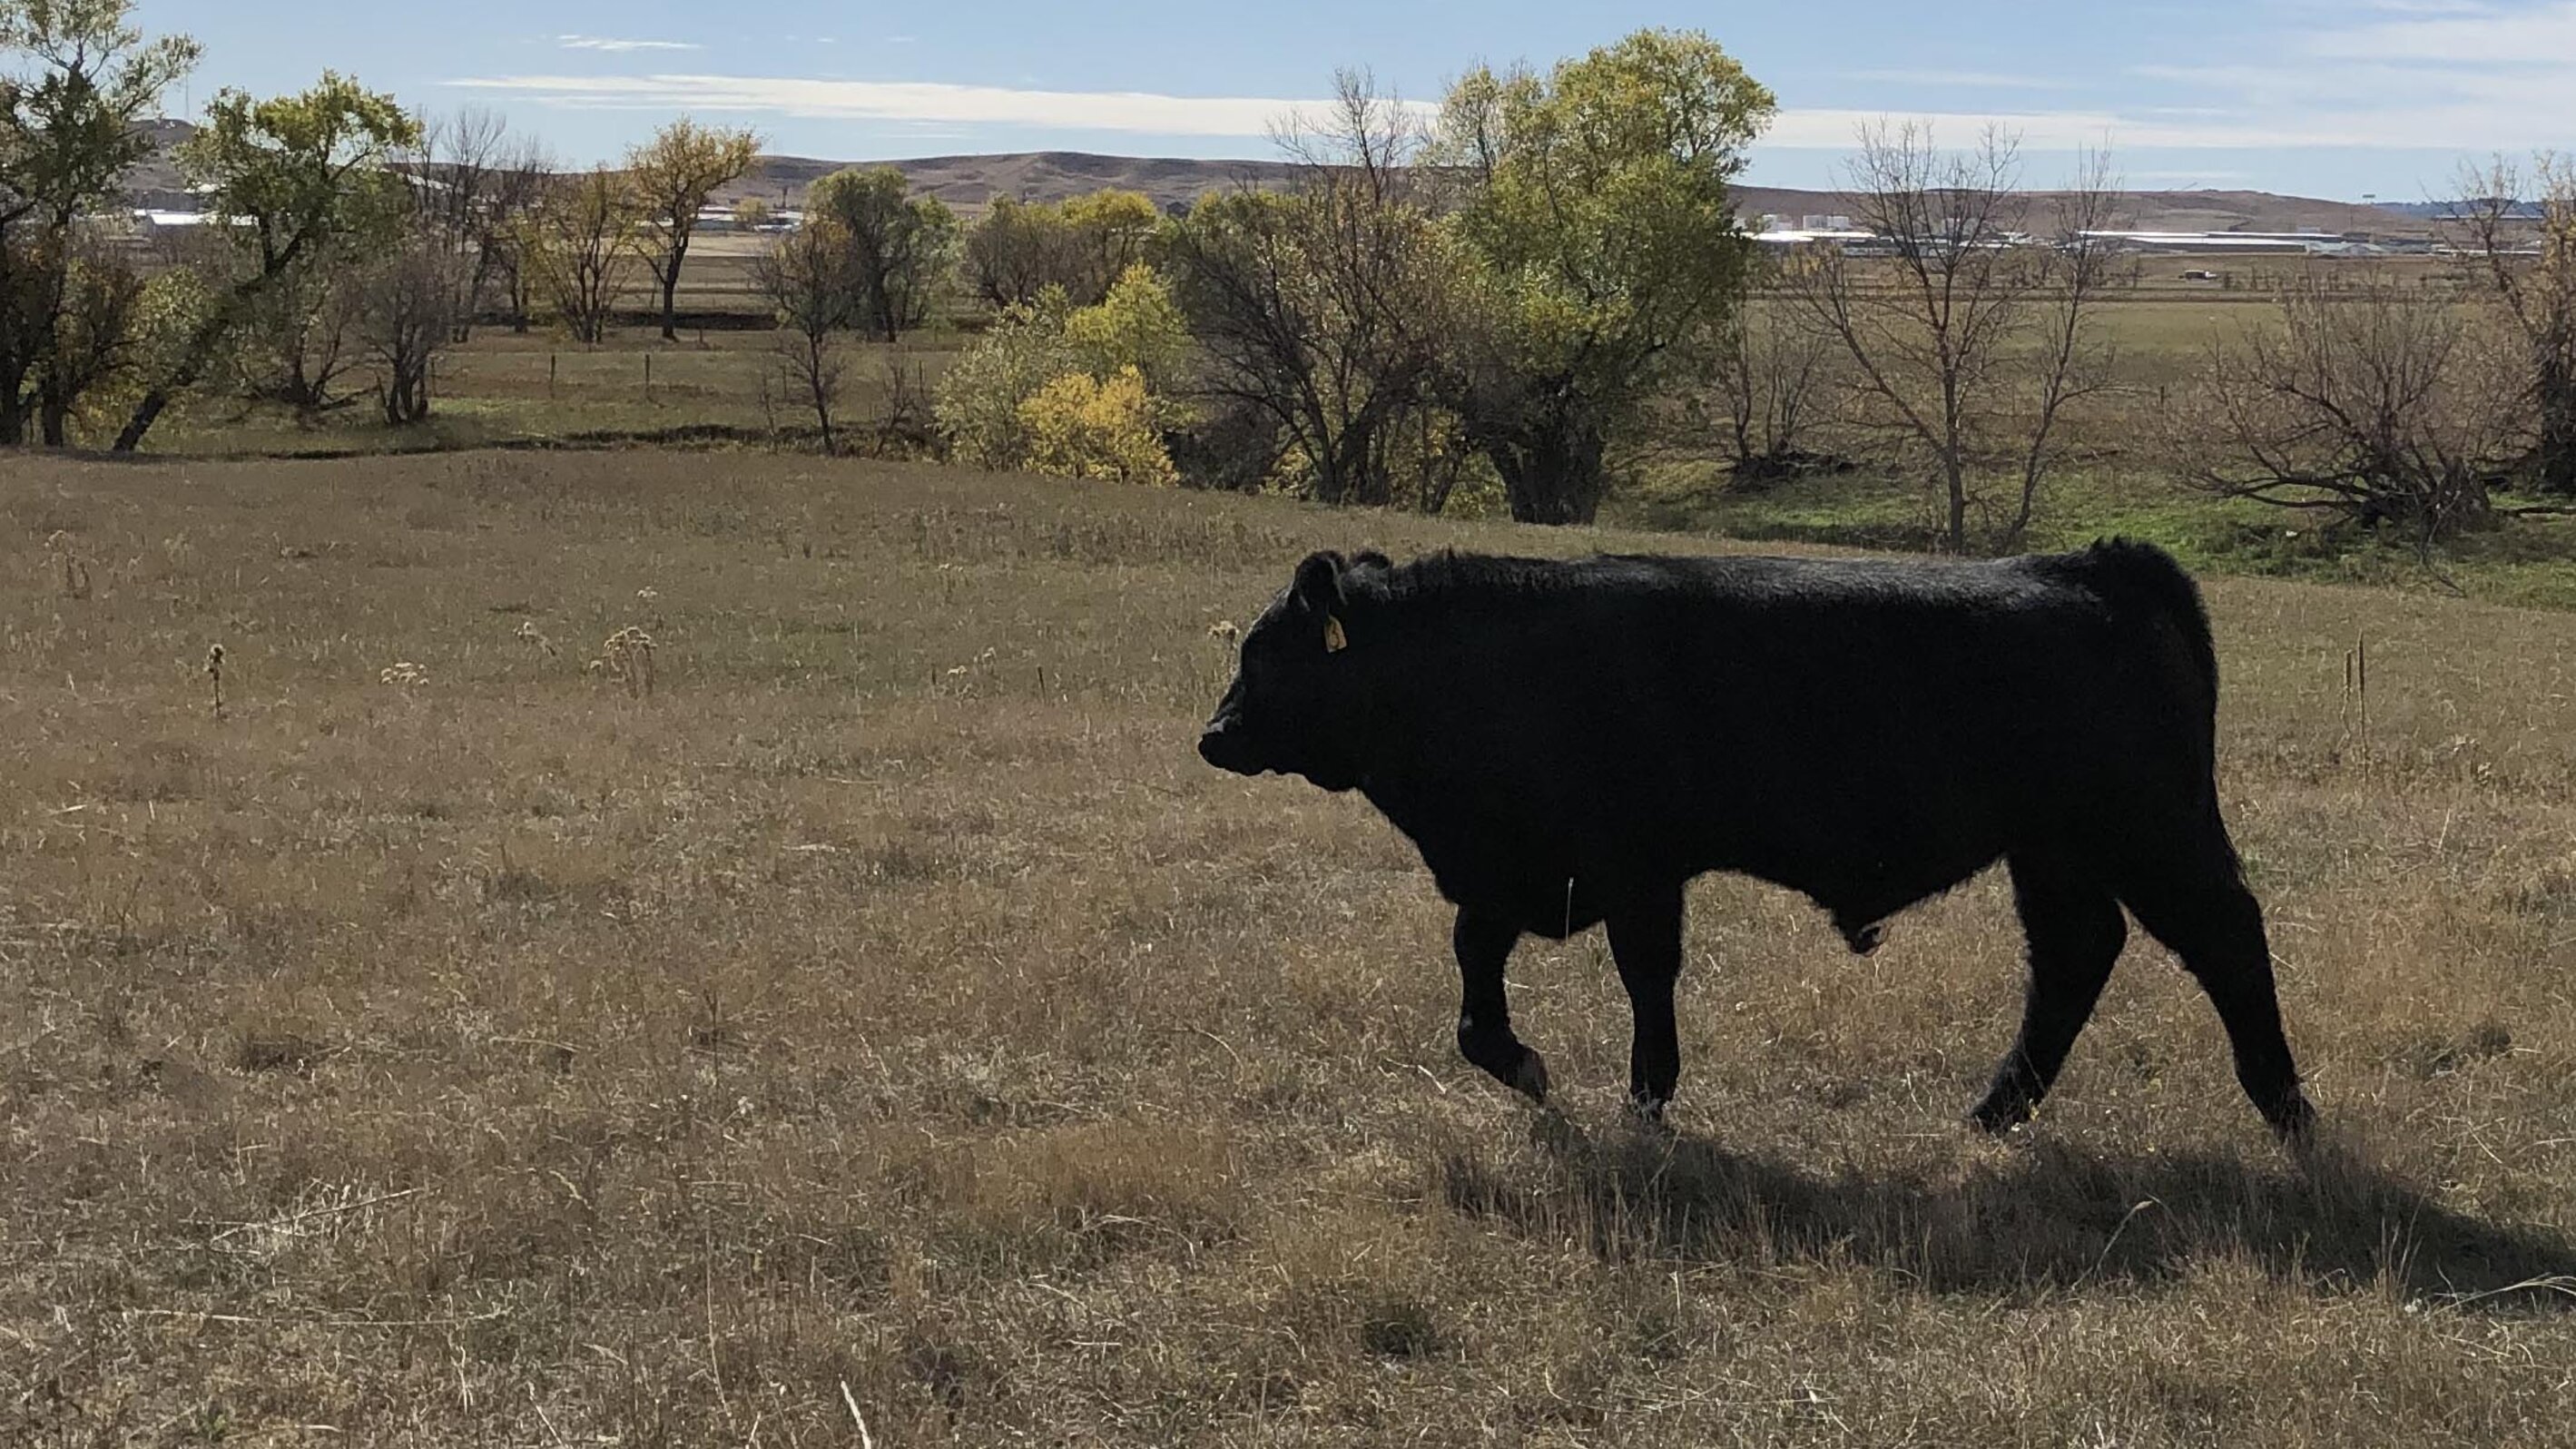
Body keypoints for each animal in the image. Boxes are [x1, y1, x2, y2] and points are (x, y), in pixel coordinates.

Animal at [1196, 541, 2314, 1142]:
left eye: (1269, 650)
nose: (1213, 734)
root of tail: (2099, 565)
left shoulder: (1631, 868)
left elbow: (1645, 976)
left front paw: (1643, 1102)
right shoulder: (1523, 870)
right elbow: (1476, 961)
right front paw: (1519, 1061)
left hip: (2151, 833)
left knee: (2226, 937)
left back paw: (2286, 1109)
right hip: (2054, 856)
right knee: (2076, 957)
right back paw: (1993, 1113)